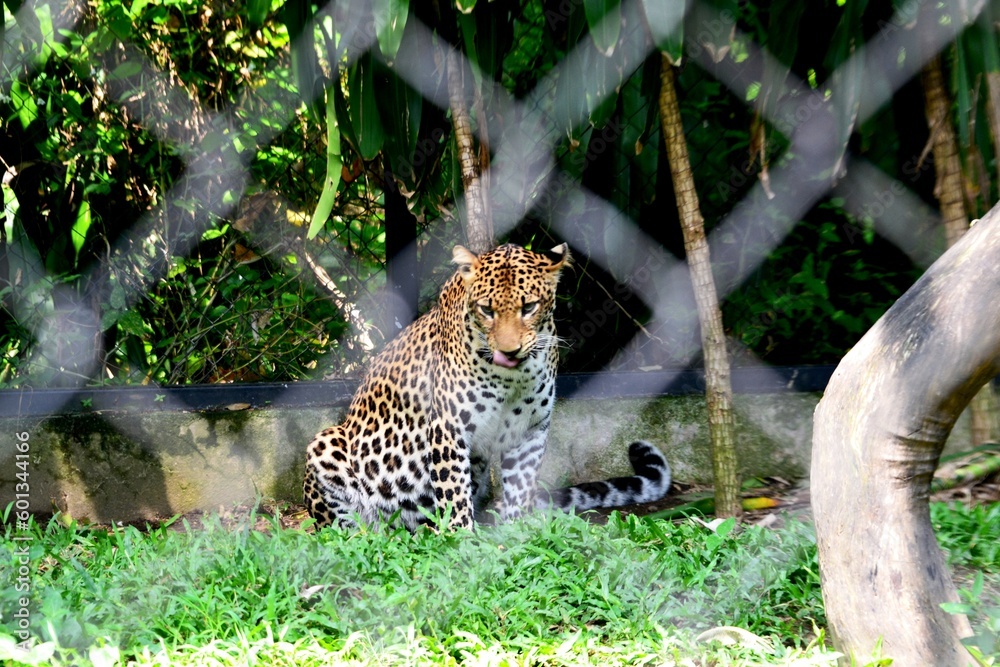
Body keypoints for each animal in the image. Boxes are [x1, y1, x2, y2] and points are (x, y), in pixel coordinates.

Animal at [303, 242, 671, 530]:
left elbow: (520, 485)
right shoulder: (449, 428)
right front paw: (461, 542)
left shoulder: (529, 430)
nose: (509, 352)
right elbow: (453, 492)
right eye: (486, 310)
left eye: (528, 307)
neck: (512, 379)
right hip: (326, 445)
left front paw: (515, 534)